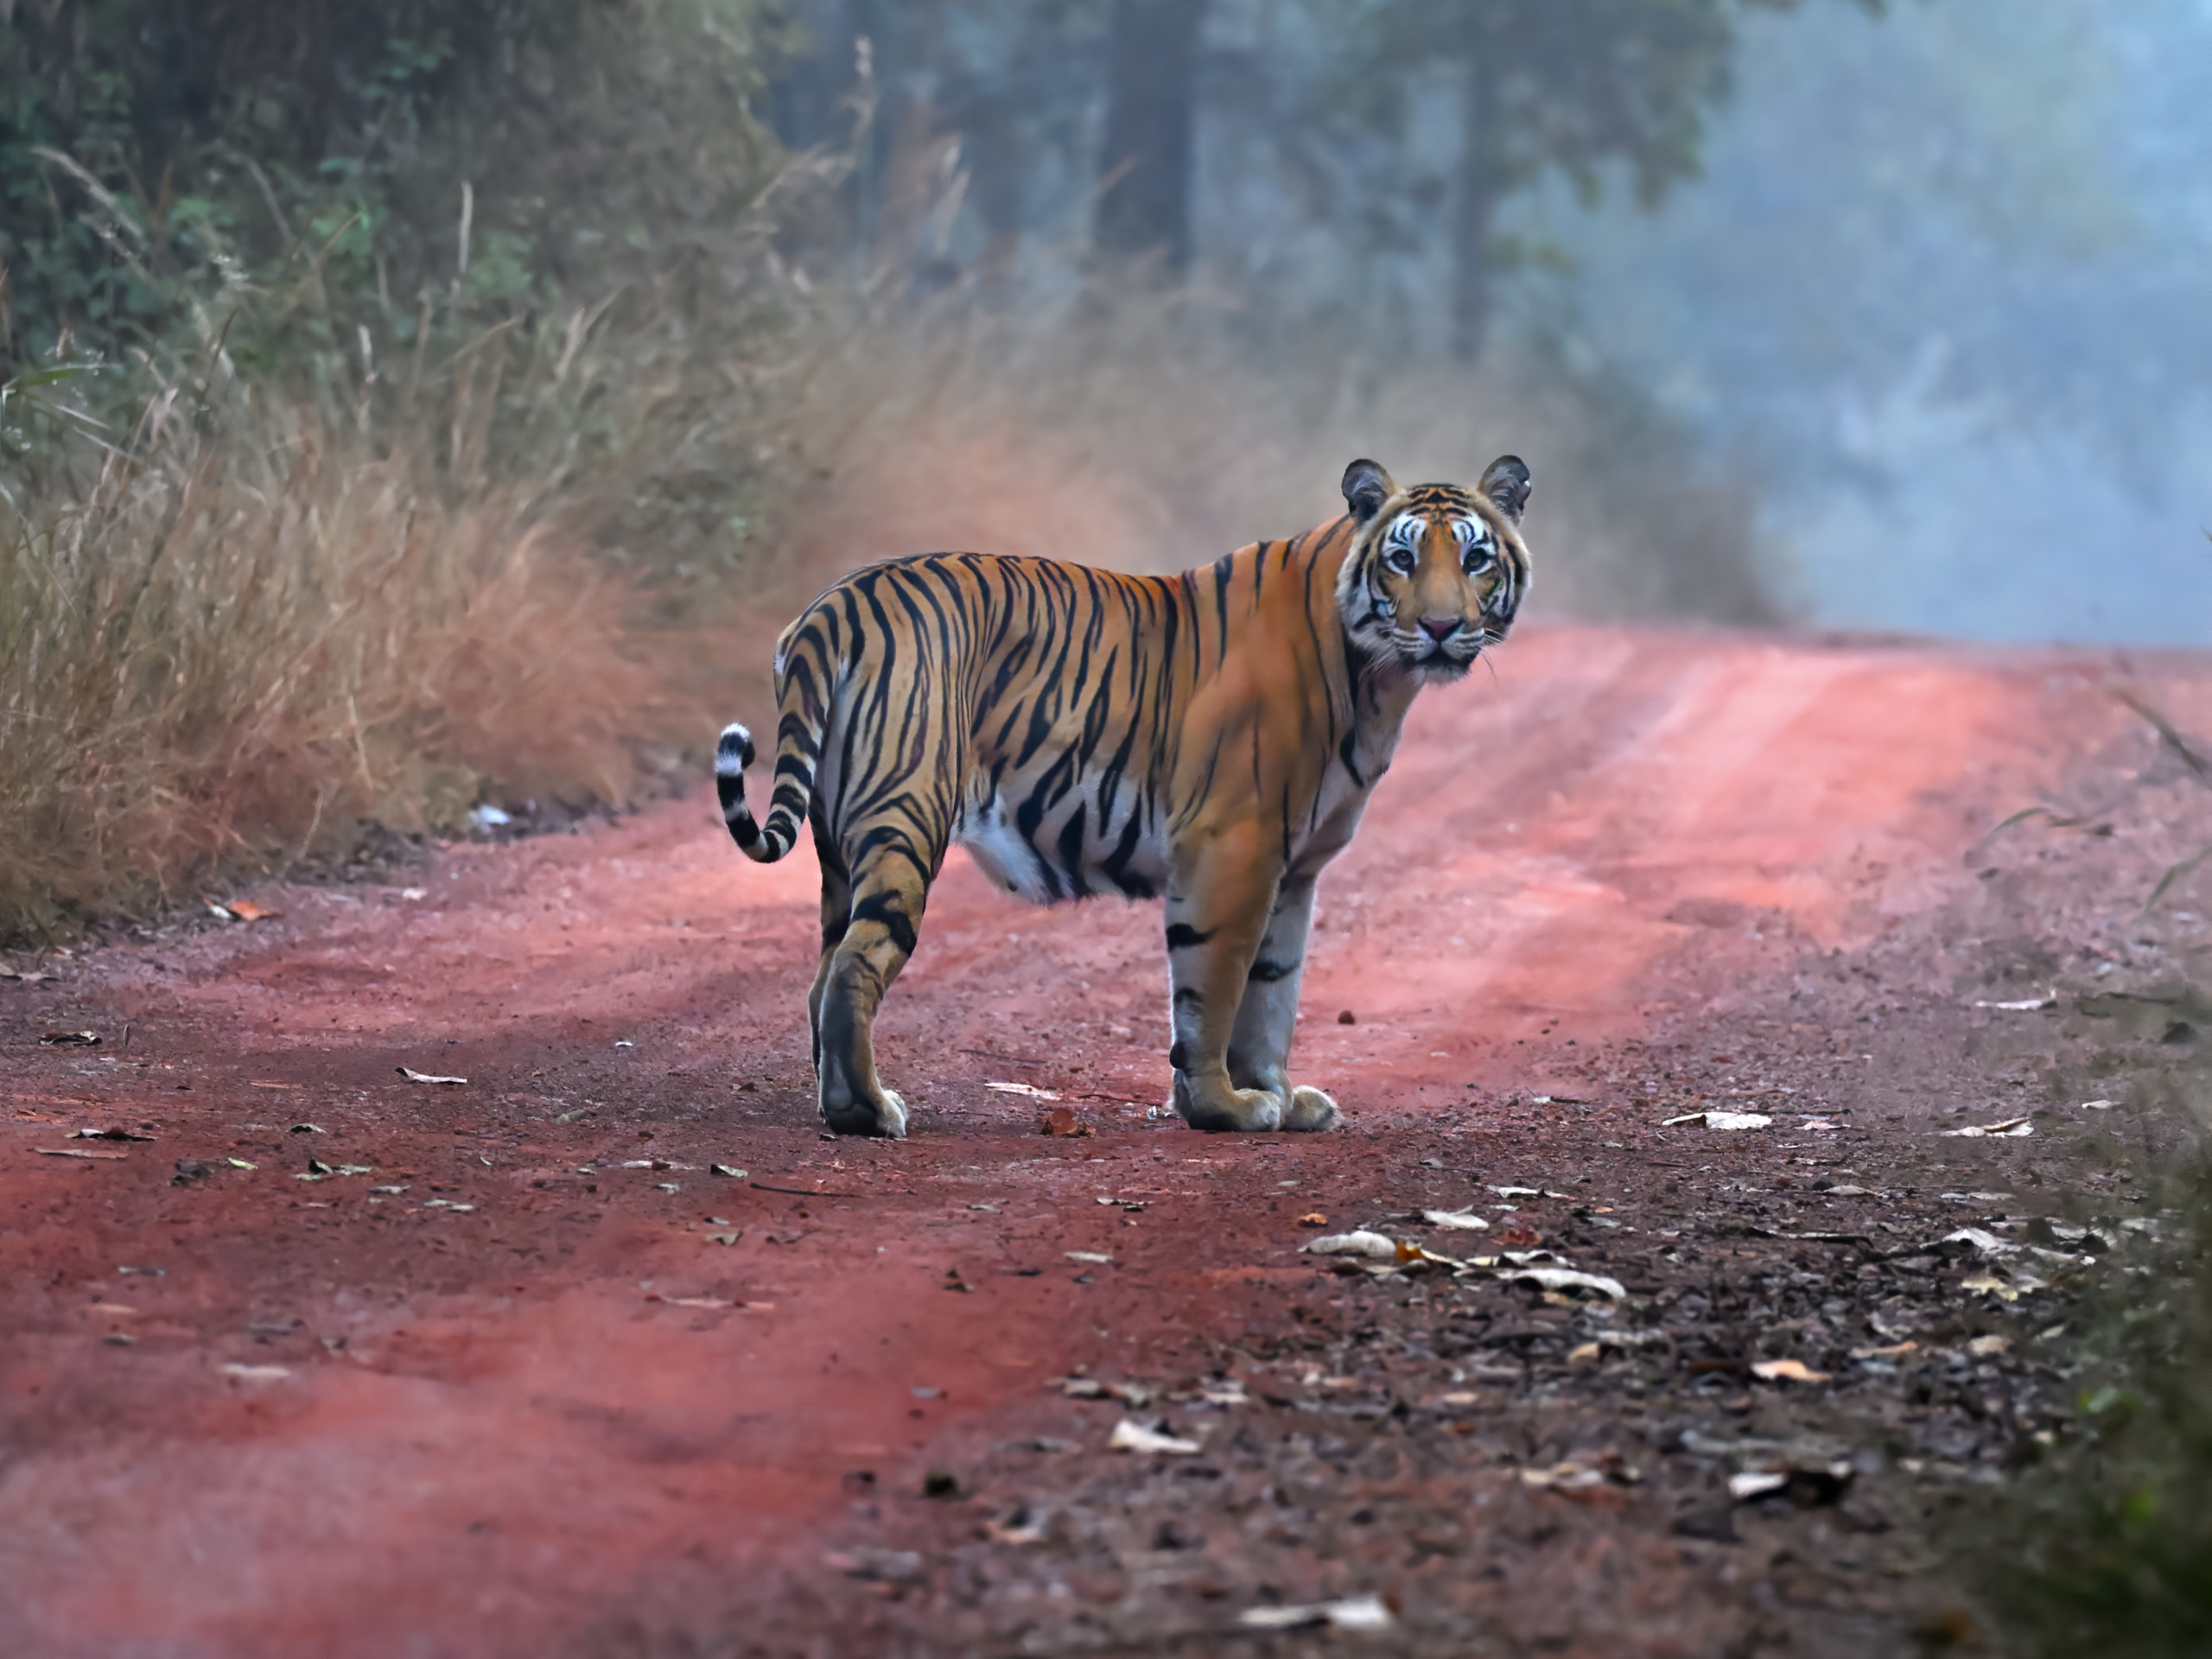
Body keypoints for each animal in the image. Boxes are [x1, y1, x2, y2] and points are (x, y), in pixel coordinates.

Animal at [716, 455, 1532, 1137]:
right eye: (1401, 558)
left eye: (1475, 558)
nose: (1441, 627)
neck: (1377, 681)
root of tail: (833, 606)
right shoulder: (1233, 849)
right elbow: (1215, 990)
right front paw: (1223, 1108)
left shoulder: (1297, 870)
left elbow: (1275, 990)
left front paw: (1281, 1096)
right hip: (906, 815)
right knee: (855, 964)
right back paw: (871, 1112)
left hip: (839, 845)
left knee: (822, 974)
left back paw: (839, 1104)